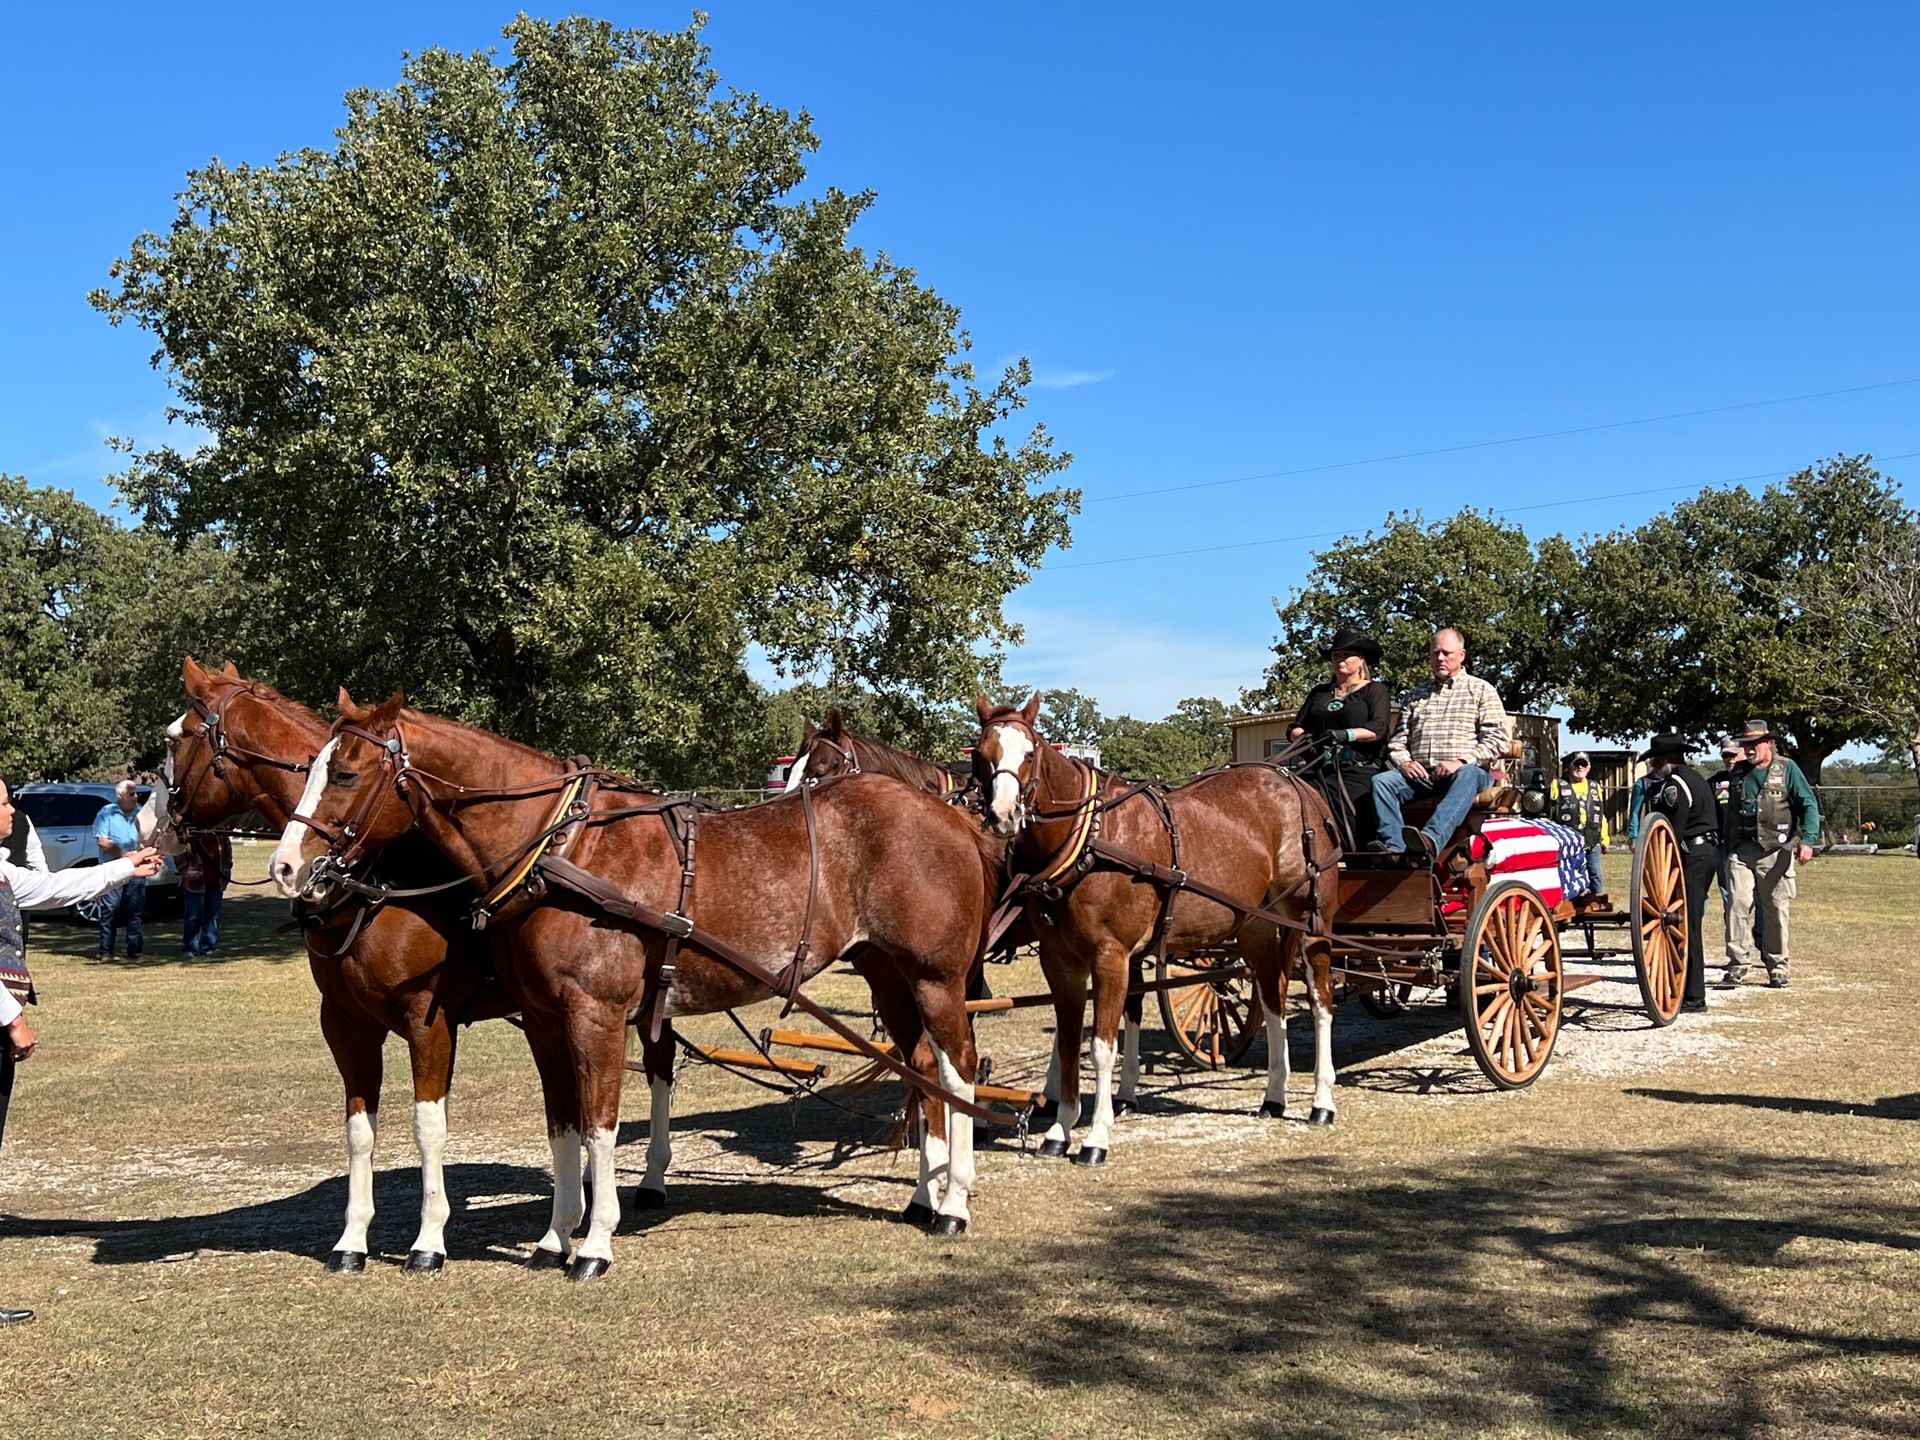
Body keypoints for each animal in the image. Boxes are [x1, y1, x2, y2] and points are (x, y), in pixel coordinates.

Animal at [148, 657, 519, 1274]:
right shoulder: (347, 1025)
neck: (377, 881)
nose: (153, 826)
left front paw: (429, 1239)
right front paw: (352, 1239)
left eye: (175, 739)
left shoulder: (430, 1023)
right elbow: (359, 1131)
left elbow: (428, 1127)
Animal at [269, 690, 1007, 1279]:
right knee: (921, 1068)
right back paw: (924, 1197)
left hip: (937, 978)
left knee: (959, 1068)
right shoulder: (544, 1021)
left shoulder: (590, 1014)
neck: (561, 848)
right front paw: (553, 1236)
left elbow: (599, 1126)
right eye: (307, 767)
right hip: (889, 975)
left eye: (345, 771)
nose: (285, 867)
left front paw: (594, 1243)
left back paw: (954, 1201)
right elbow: (563, 1128)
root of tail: (951, 817)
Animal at [970, 692, 1341, 1164]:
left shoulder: (1110, 957)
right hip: (1257, 927)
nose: (1003, 816)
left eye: (1030, 753)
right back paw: (1274, 1096)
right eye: (981, 755)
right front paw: (1059, 1129)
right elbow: (1069, 1044)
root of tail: (1296, 782)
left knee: (1320, 1002)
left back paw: (1321, 1102)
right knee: (1273, 998)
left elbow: (1101, 1047)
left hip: (1314, 923)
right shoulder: (1060, 962)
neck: (1088, 839)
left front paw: (1095, 1137)